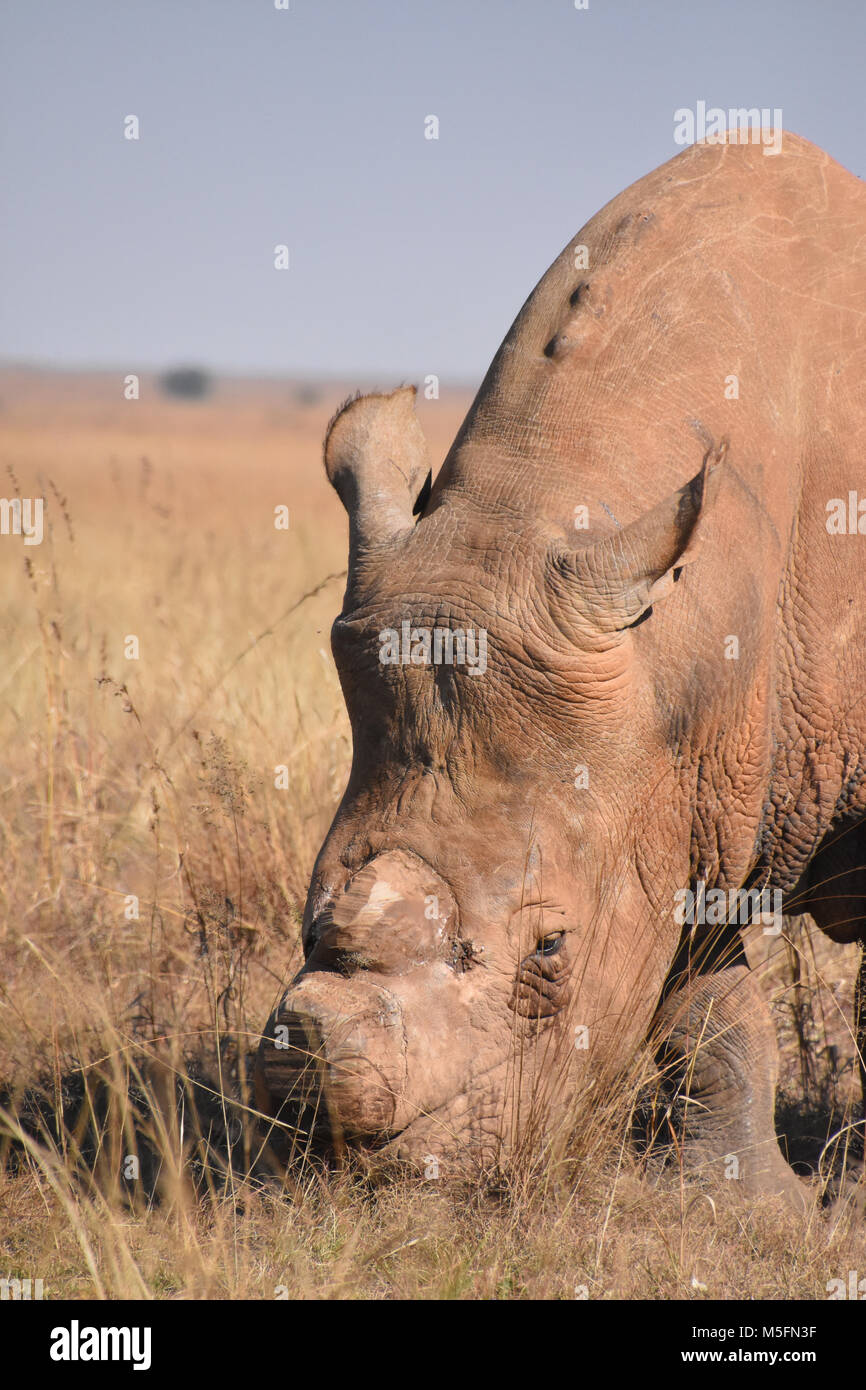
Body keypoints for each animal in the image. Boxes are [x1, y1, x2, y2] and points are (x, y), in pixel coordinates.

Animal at [256, 132, 866, 1205]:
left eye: (551, 950)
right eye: (306, 914)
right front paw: (746, 1208)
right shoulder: (682, 781)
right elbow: (705, 1005)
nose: (364, 1169)